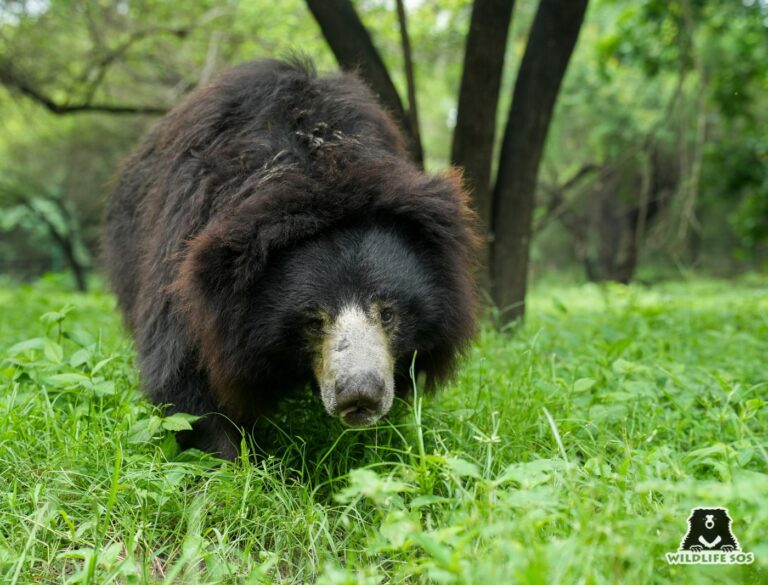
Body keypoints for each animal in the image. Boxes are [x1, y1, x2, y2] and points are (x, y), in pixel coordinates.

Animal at [103, 59, 478, 458]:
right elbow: (186, 381)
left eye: (388, 313)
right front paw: (230, 464)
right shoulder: (187, 257)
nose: (360, 395)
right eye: (312, 322)